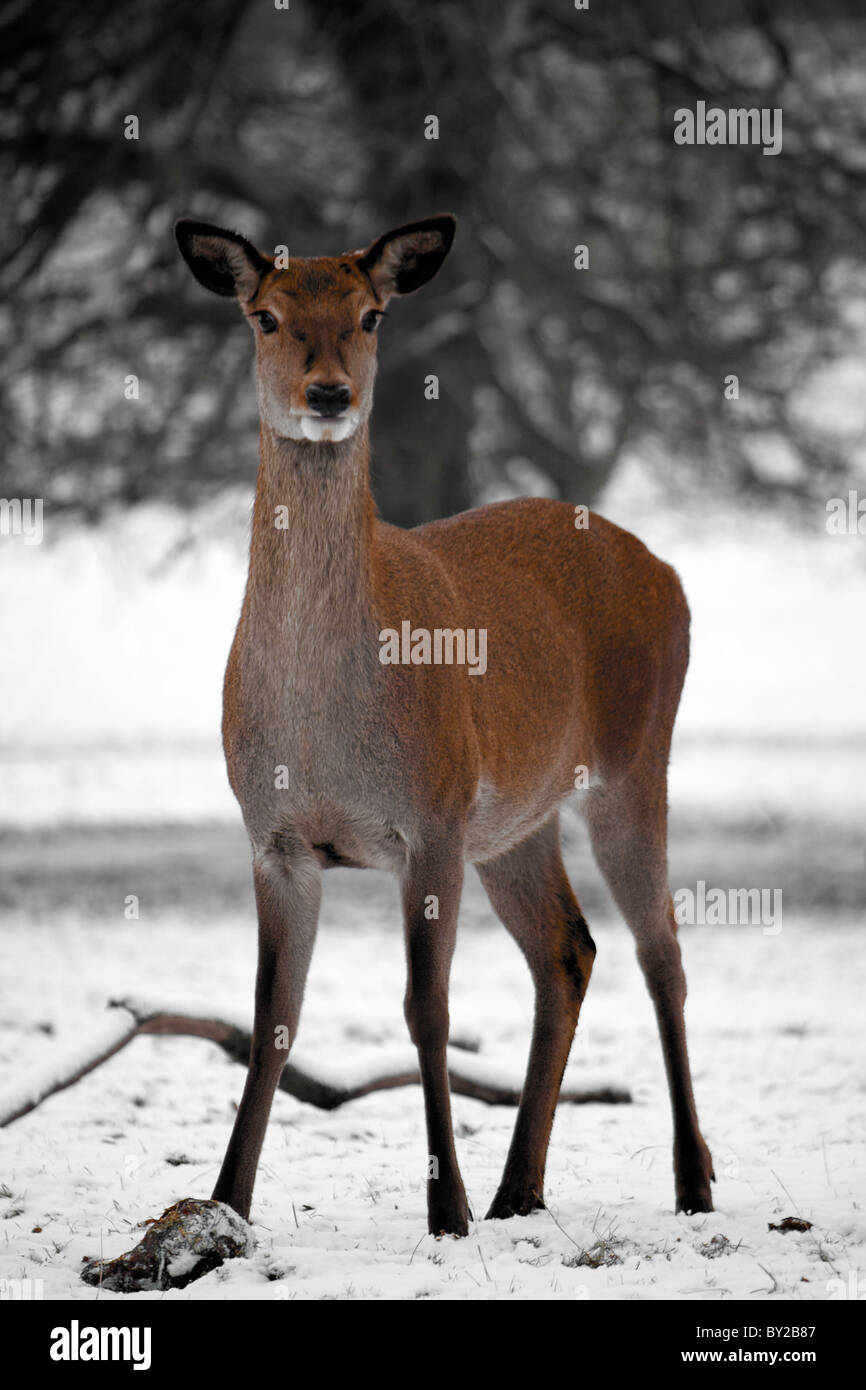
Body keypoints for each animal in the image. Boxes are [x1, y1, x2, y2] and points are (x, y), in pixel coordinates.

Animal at [168, 212, 713, 1249]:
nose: (328, 392)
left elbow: (428, 1008)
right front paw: (226, 1204)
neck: (326, 728)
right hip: (514, 823)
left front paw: (445, 1209)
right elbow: (272, 1017)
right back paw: (522, 1189)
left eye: (371, 315)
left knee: (662, 953)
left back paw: (693, 1182)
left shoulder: (430, 819)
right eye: (265, 316)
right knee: (569, 951)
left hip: (632, 762)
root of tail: (668, 570)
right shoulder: (276, 837)